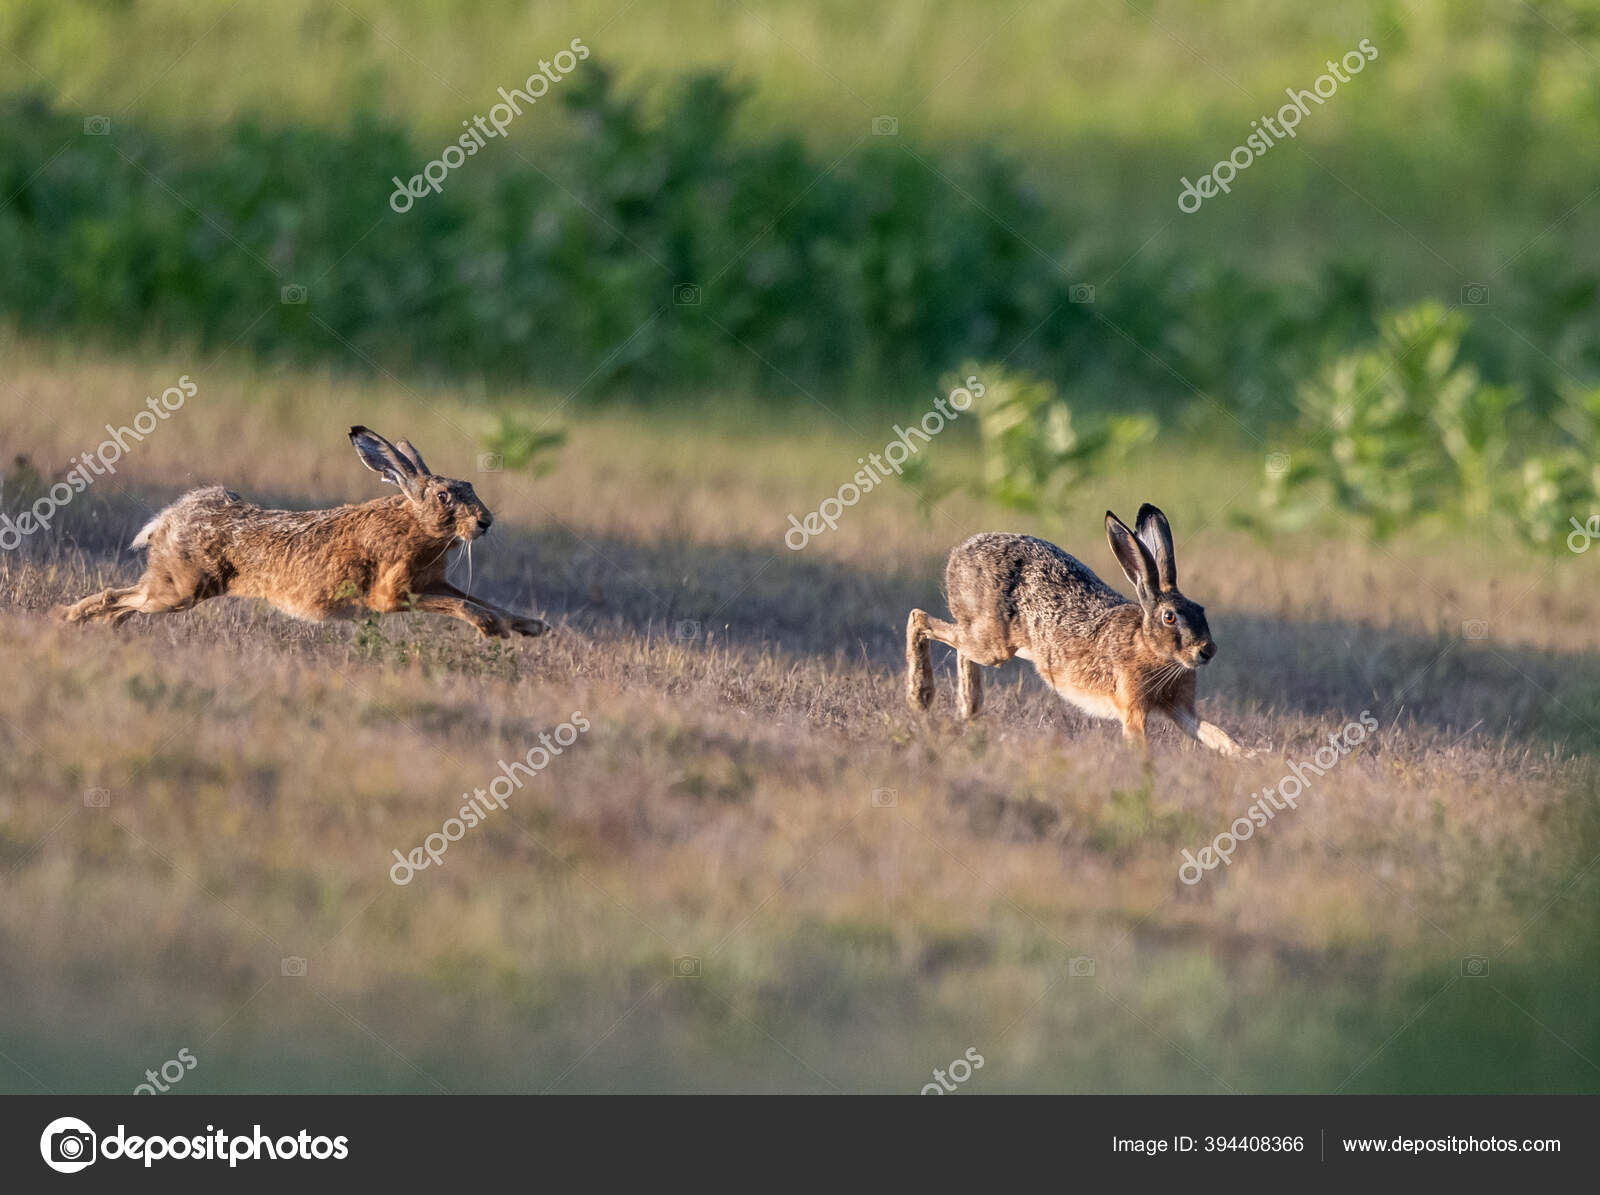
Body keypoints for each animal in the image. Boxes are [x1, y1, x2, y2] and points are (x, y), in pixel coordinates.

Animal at [57, 426, 549, 640]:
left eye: (469, 486)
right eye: (445, 495)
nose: (485, 522)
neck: (414, 522)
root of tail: (169, 519)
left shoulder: (433, 580)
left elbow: (476, 598)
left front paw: (527, 626)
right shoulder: (392, 594)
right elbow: (458, 605)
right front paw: (491, 628)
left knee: (127, 600)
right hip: (182, 589)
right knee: (120, 596)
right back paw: (70, 619)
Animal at [906, 504, 1250, 755]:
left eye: (1200, 610)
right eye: (1169, 617)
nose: (1207, 651)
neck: (1149, 647)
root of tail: (958, 555)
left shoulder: (1180, 709)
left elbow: (1213, 733)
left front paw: (1246, 757)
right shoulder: (1133, 708)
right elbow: (1139, 743)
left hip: (986, 640)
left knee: (959, 645)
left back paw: (968, 708)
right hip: (992, 645)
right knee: (919, 619)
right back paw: (920, 697)